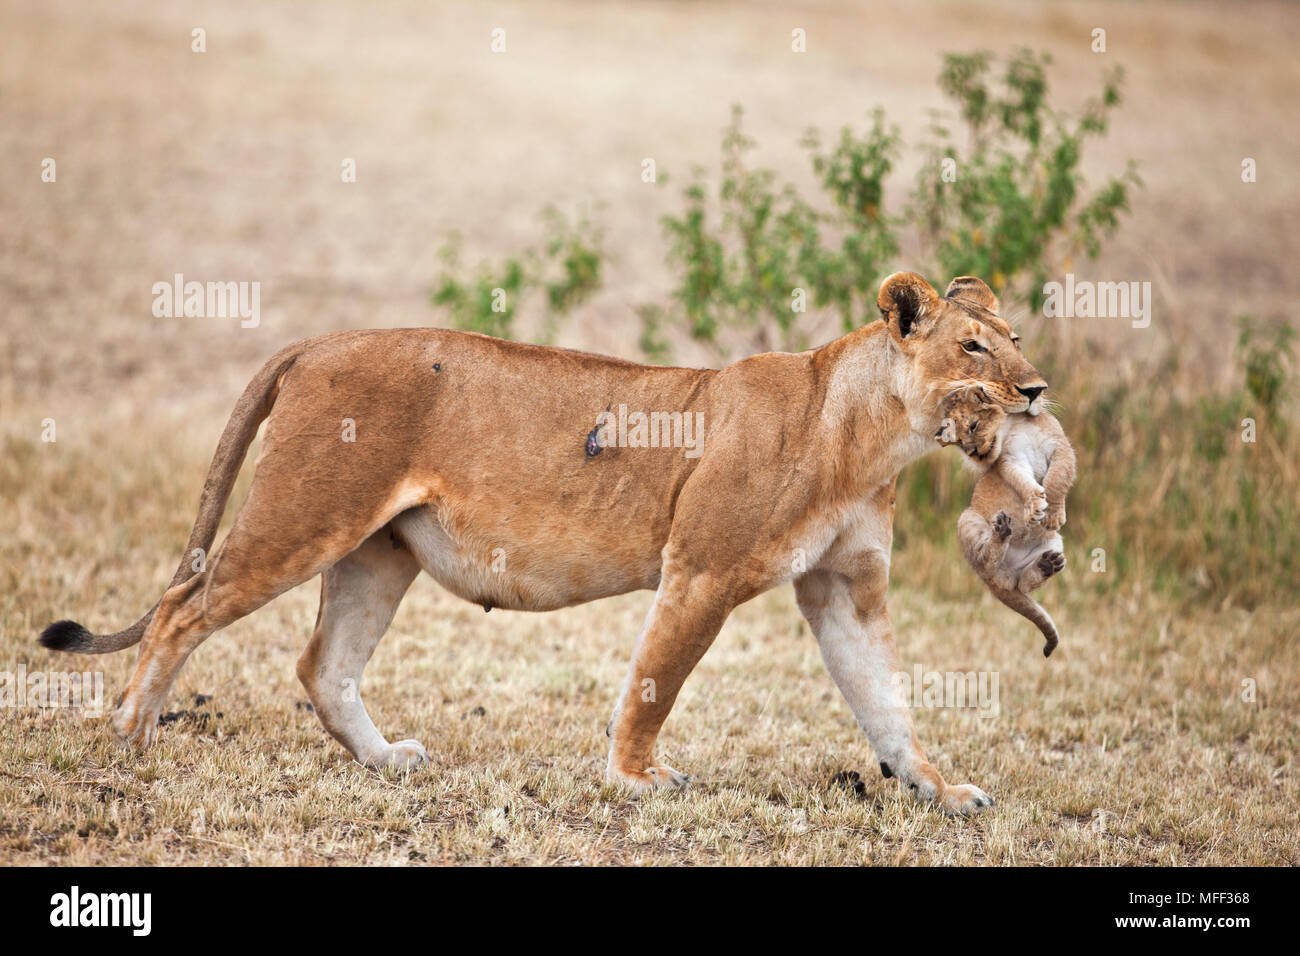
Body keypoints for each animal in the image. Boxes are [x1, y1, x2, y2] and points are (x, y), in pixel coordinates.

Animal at [40, 272, 1047, 815]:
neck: (868, 441)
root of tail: (316, 340)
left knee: (323, 665)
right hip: (301, 517)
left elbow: (888, 705)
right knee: (183, 608)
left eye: (1013, 339)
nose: (1036, 390)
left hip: (377, 550)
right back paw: (130, 734)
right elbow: (656, 682)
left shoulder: (846, 589)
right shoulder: (703, 570)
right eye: (973, 348)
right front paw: (637, 779)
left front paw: (941, 792)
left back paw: (385, 759)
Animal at [935, 386, 1077, 657]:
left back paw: (1047, 565)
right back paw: (1001, 532)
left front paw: (1051, 515)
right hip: (967, 519)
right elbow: (1022, 481)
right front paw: (1035, 507)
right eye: (959, 441)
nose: (974, 452)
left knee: (1023, 585)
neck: (1018, 423)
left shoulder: (1061, 448)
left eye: (973, 425)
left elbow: (1057, 478)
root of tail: (992, 584)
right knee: (988, 560)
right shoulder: (1011, 460)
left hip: (1054, 543)